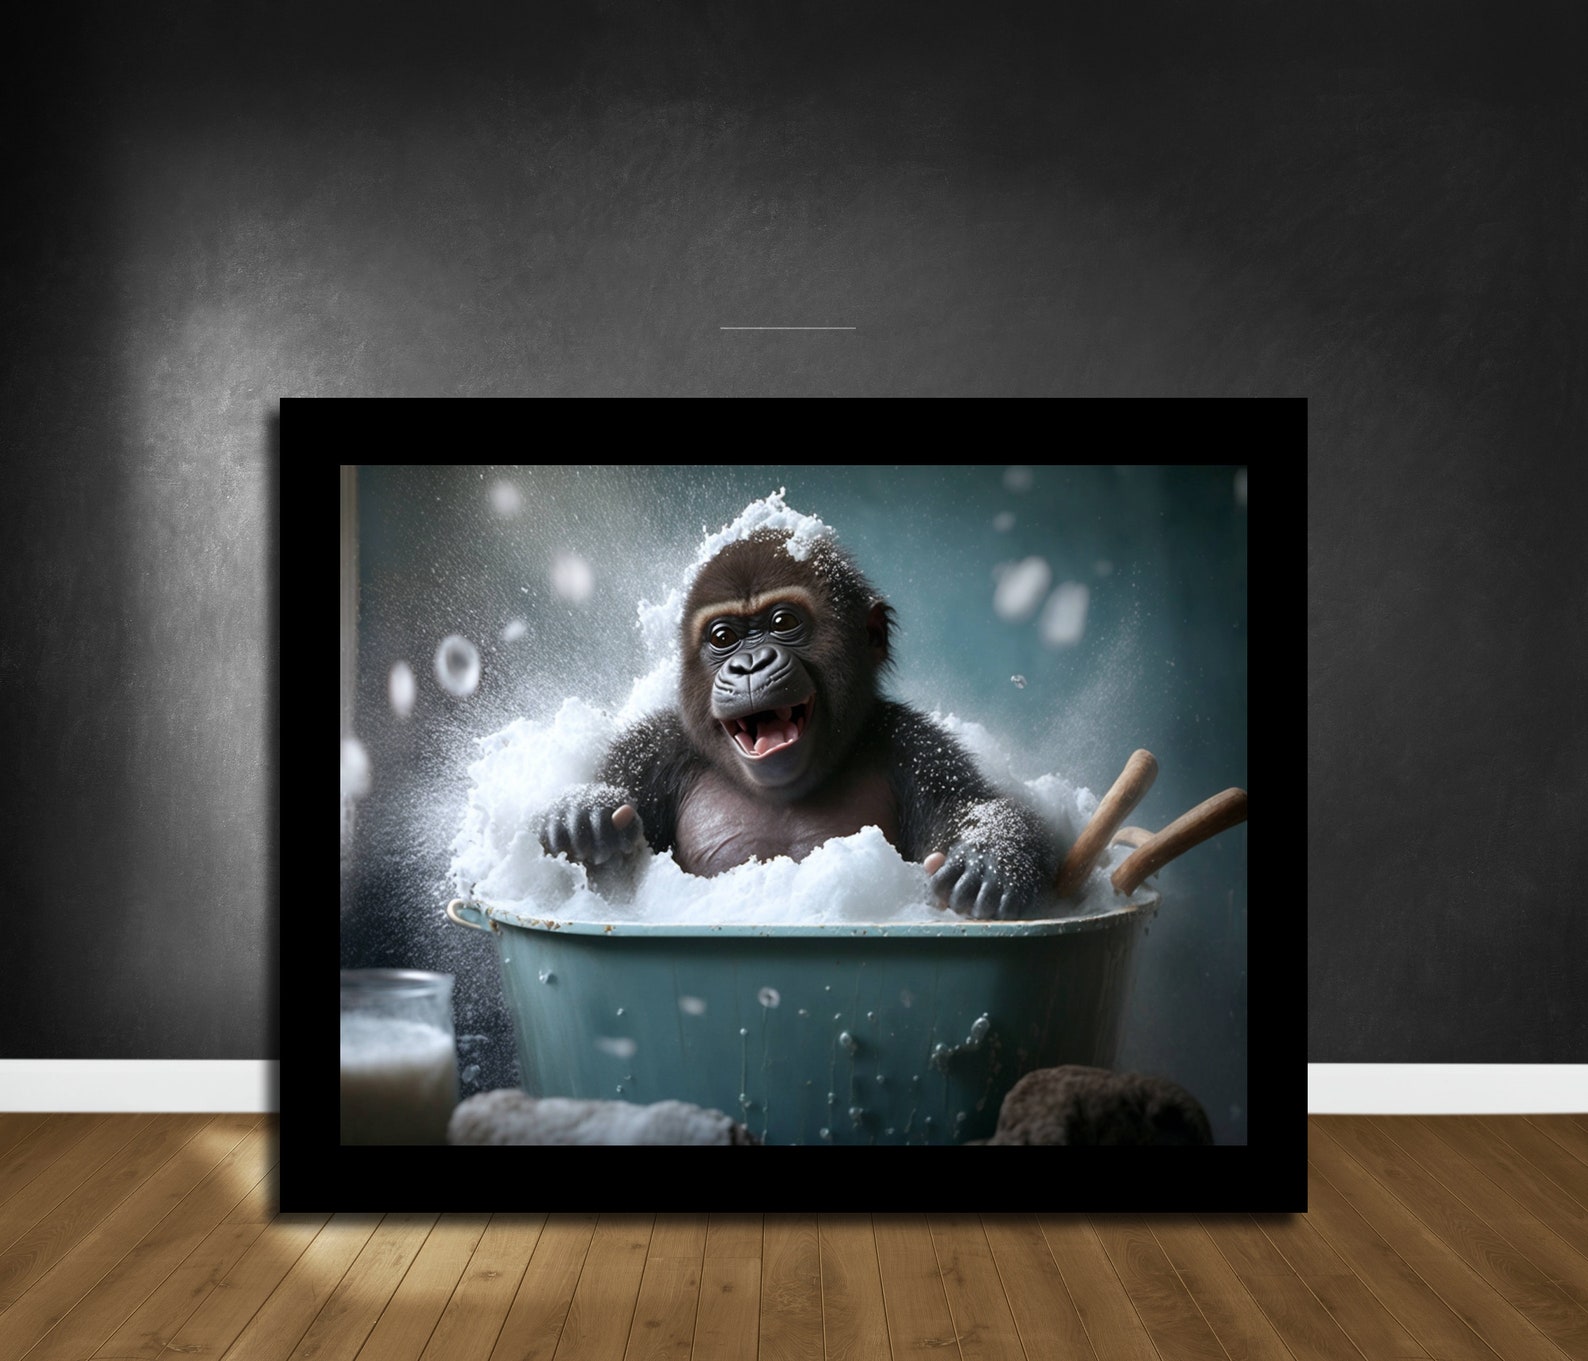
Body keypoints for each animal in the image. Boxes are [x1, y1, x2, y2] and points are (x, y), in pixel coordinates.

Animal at [538, 527, 1060, 918]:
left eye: (783, 623)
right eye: (722, 637)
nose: (749, 665)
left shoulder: (916, 746)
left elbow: (970, 804)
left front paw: (992, 856)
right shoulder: (656, 746)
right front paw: (586, 813)